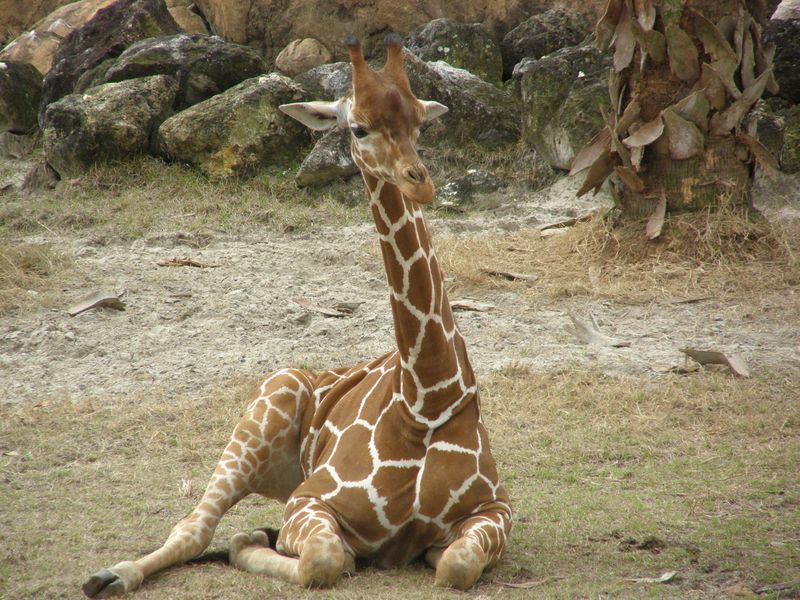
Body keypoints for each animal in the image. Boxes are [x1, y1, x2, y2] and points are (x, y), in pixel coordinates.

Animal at [82, 35, 511, 598]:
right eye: (358, 127)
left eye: (421, 121)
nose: (420, 183)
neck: (427, 399)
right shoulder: (309, 500)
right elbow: (324, 560)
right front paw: (259, 543)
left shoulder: (495, 508)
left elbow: (455, 564)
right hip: (267, 407)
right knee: (194, 529)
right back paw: (111, 574)